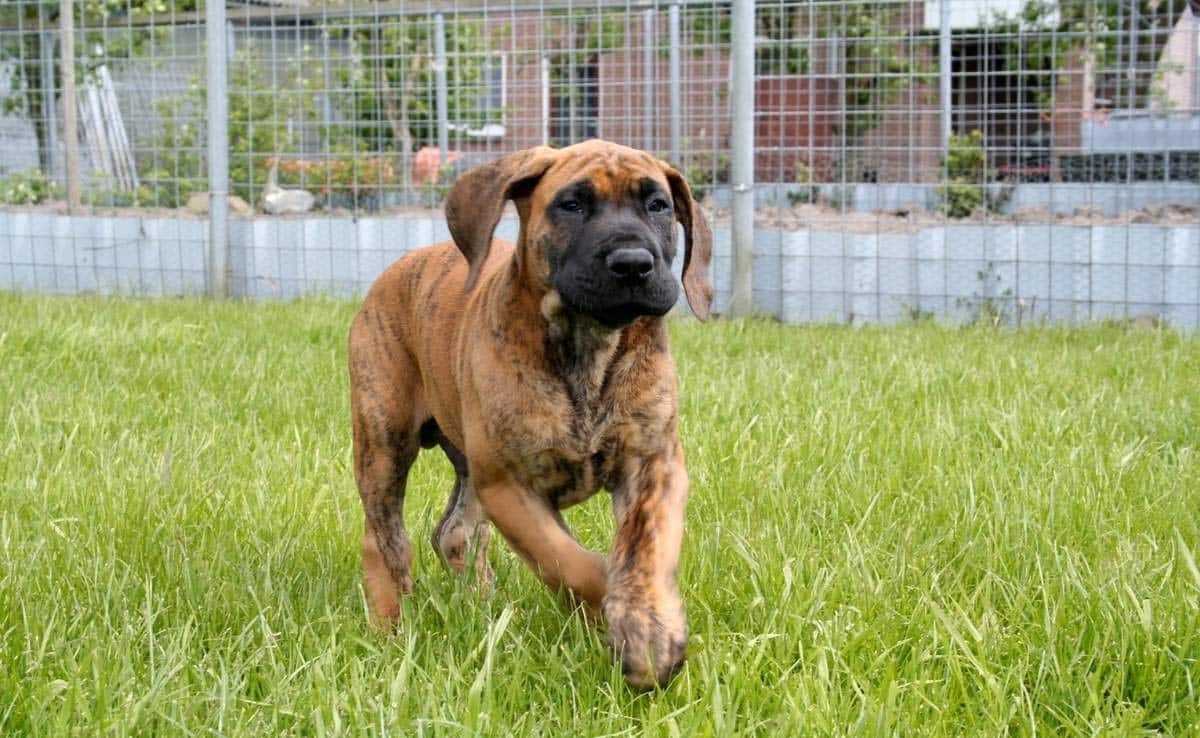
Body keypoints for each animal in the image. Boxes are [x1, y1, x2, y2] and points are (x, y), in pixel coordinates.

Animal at [350, 138, 715, 686]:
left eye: (658, 205)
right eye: (572, 204)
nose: (633, 263)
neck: (587, 346)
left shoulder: (655, 465)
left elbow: (645, 551)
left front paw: (651, 628)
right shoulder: (510, 486)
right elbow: (571, 564)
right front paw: (617, 612)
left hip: (468, 466)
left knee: (454, 533)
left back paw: (481, 604)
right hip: (384, 441)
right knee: (385, 539)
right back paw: (389, 625)